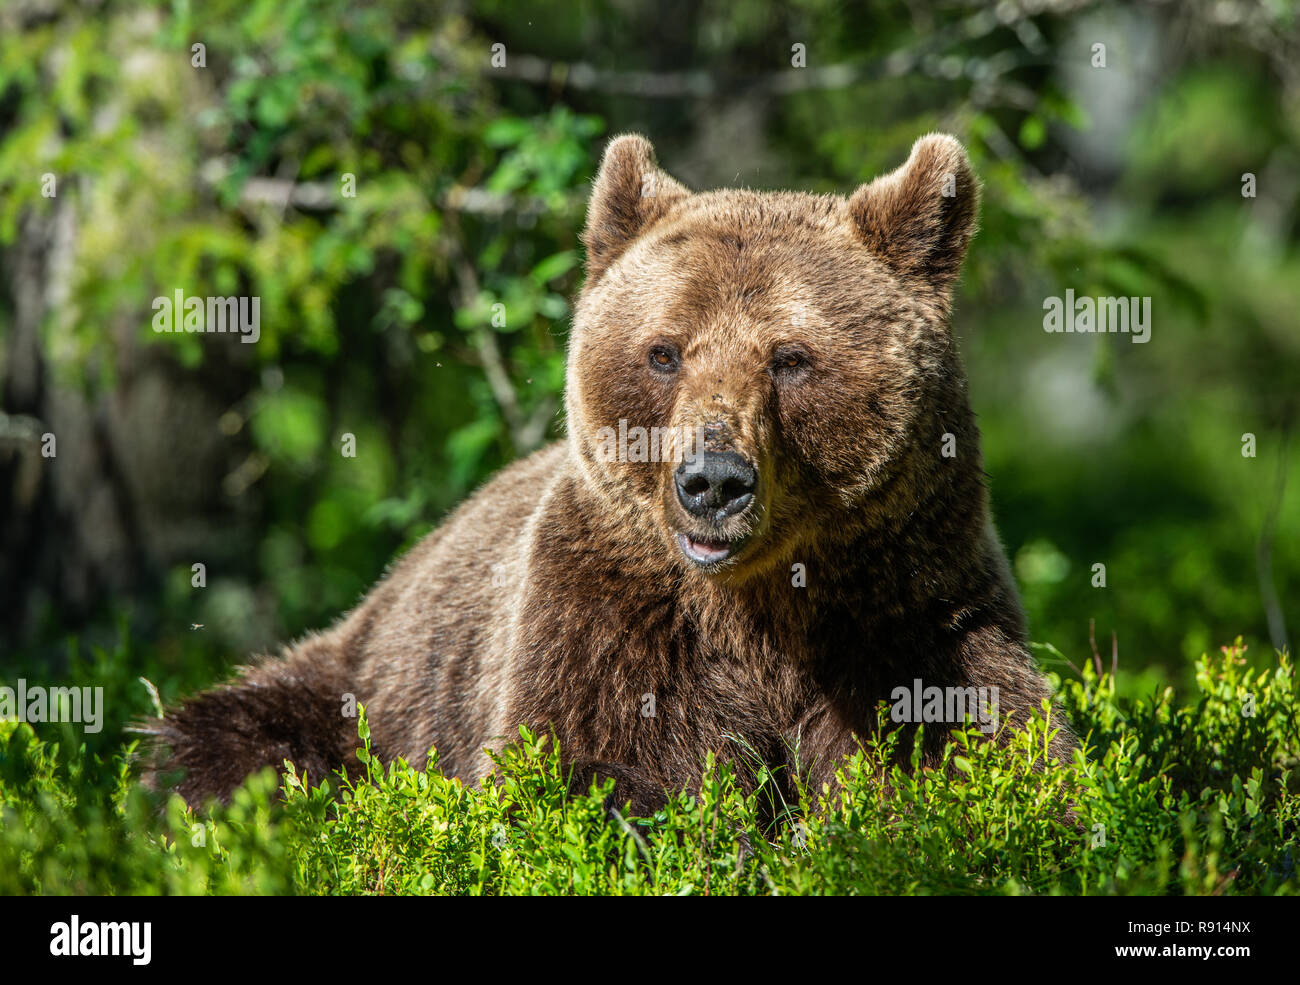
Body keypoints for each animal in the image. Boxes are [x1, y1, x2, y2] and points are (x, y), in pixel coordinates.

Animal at [144, 132, 1075, 813]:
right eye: (664, 350)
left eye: (790, 358)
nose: (713, 481)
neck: (765, 605)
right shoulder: (608, 613)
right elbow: (591, 772)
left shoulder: (912, 609)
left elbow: (984, 752)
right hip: (366, 686)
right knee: (221, 739)